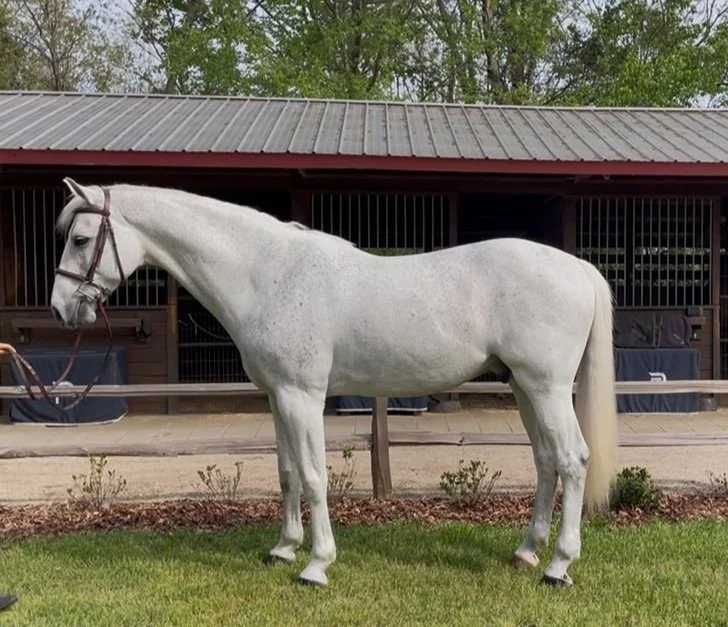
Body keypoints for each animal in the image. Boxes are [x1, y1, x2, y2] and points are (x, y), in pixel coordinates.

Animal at [50, 178, 618, 588]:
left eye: (80, 239)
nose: (60, 310)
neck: (268, 275)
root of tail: (578, 268)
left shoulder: (302, 397)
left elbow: (314, 476)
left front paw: (316, 566)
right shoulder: (277, 397)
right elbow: (287, 474)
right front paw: (282, 549)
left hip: (546, 388)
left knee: (572, 460)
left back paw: (558, 566)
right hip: (523, 387)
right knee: (545, 462)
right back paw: (526, 552)